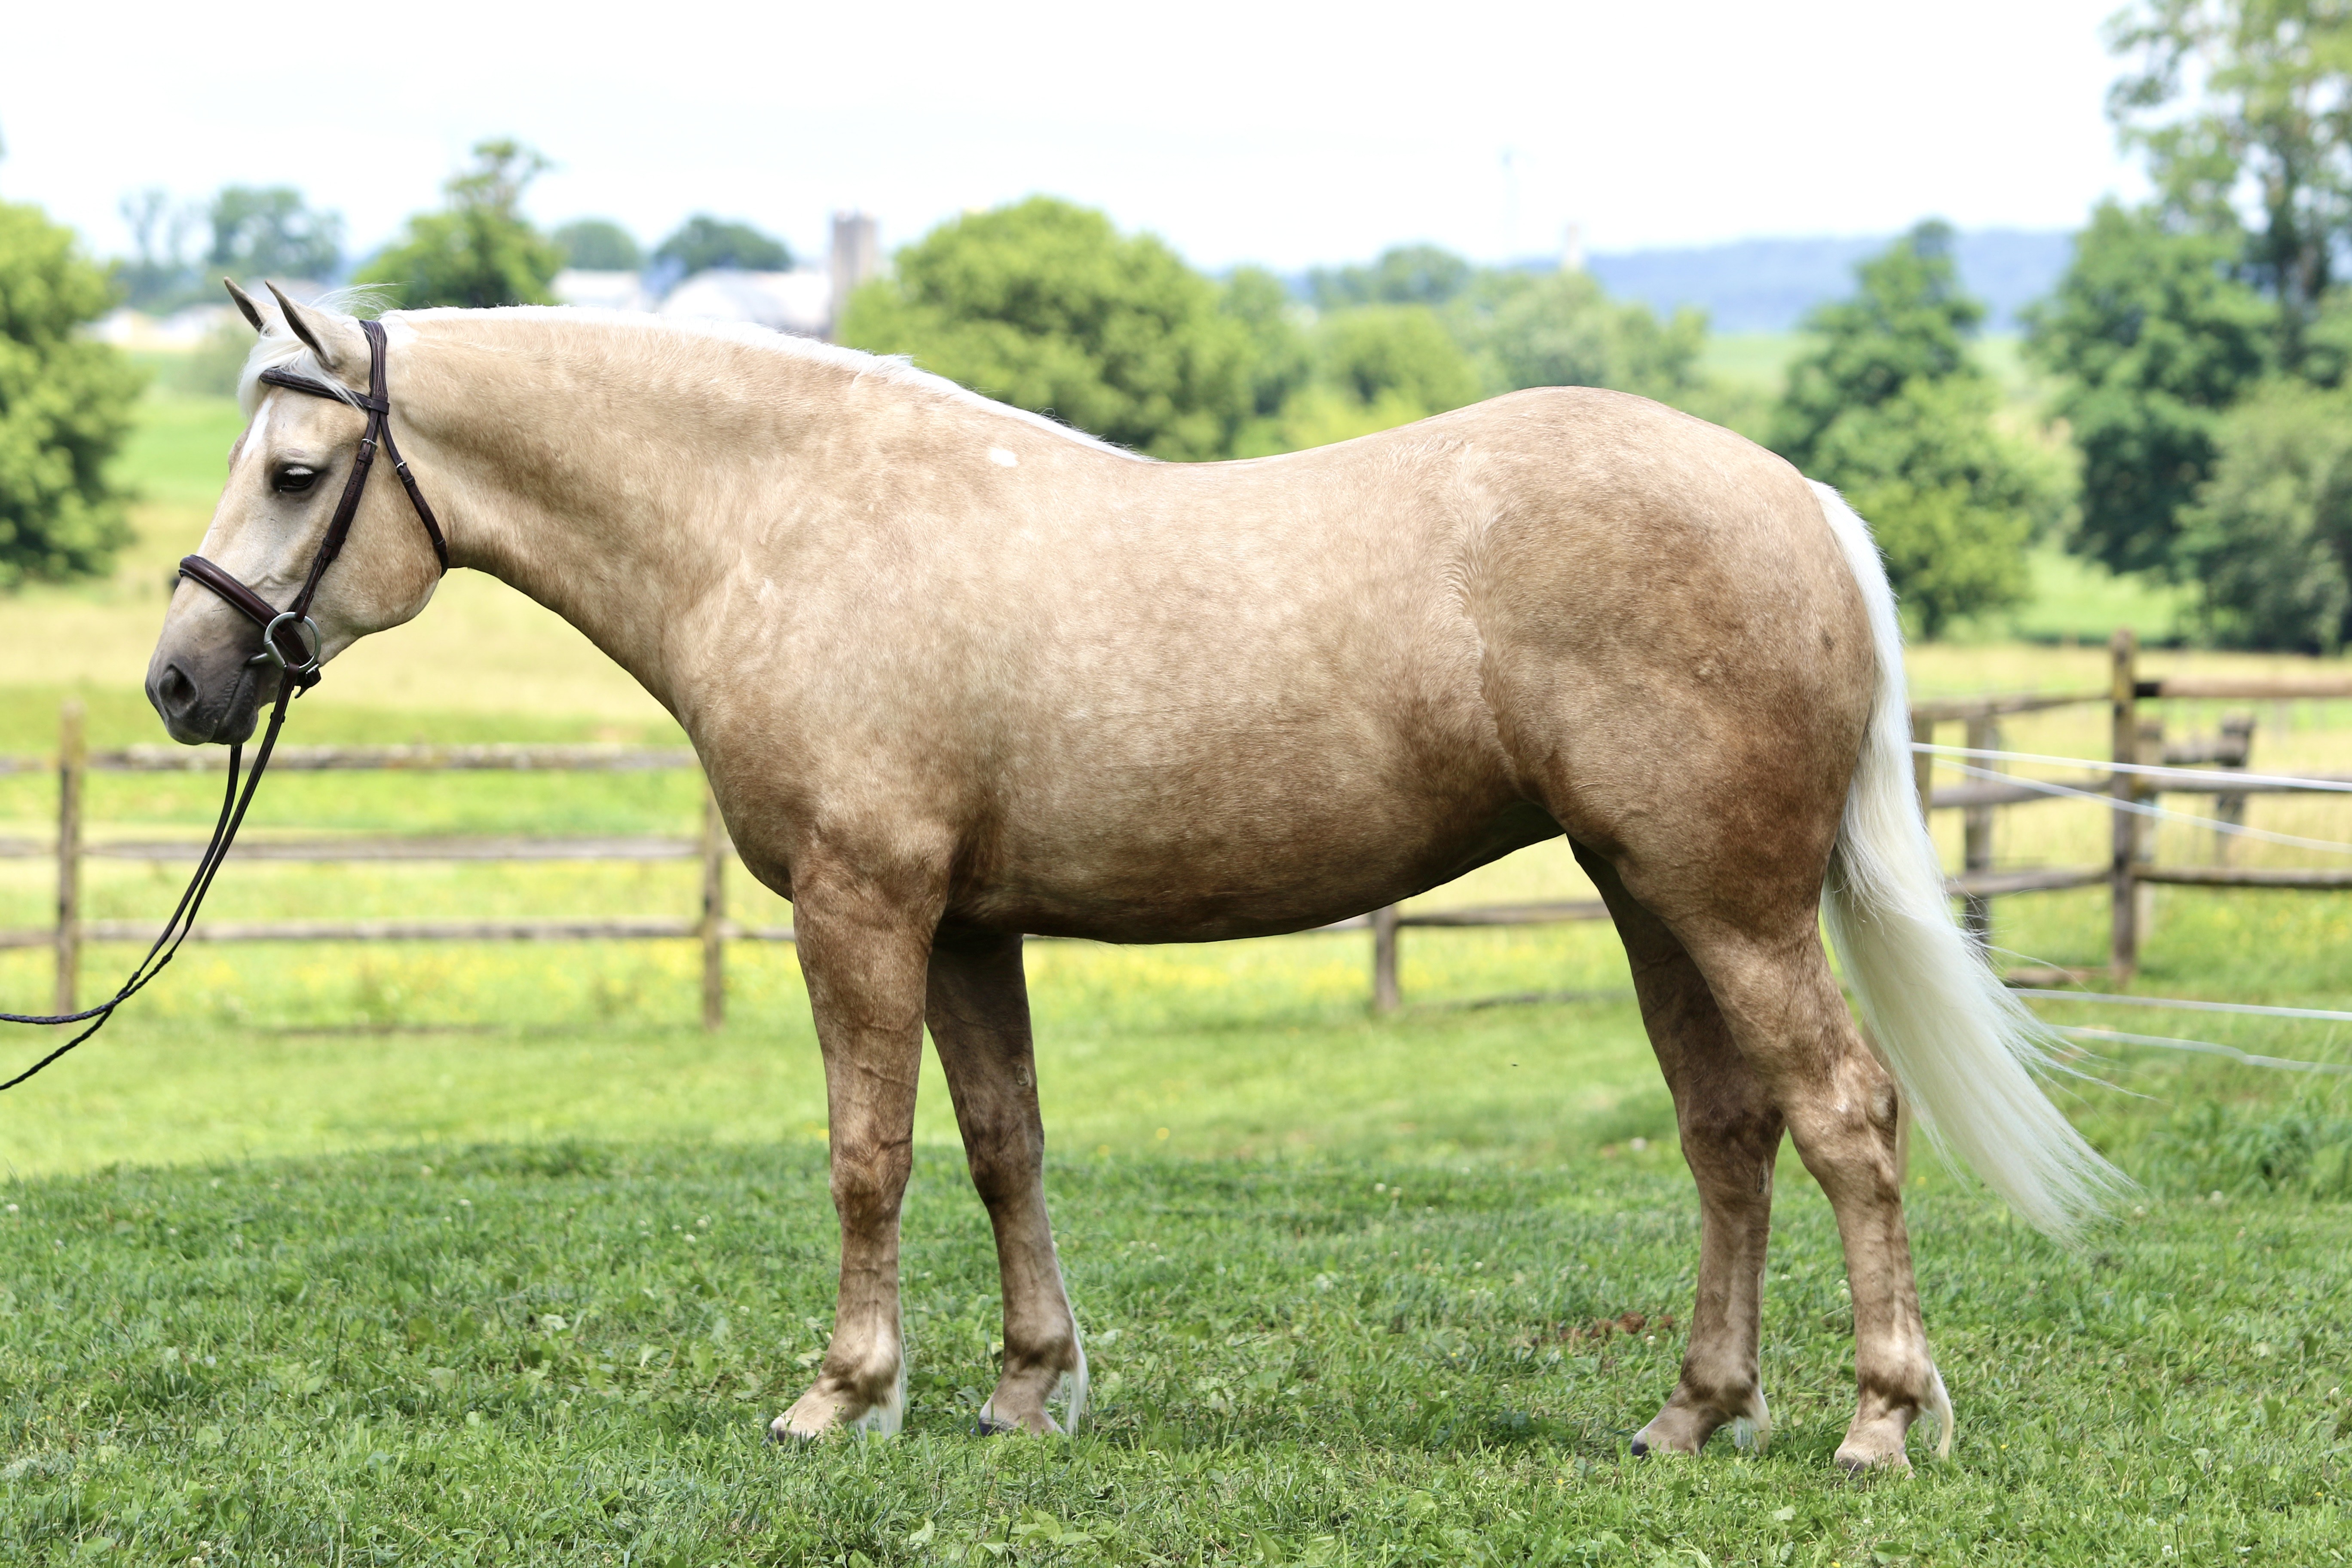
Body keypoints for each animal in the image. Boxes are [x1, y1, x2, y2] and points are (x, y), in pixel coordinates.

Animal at [144, 282, 2115, 1469]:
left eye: (297, 470)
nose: (180, 680)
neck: (787, 521)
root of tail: (1802, 501)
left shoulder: (861, 906)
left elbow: (868, 1156)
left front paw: (842, 1396)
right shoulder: (964, 927)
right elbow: (1001, 1145)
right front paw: (1028, 1390)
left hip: (1728, 902)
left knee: (1846, 1113)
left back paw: (1879, 1419)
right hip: (1651, 896)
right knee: (1730, 1131)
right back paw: (1695, 1416)